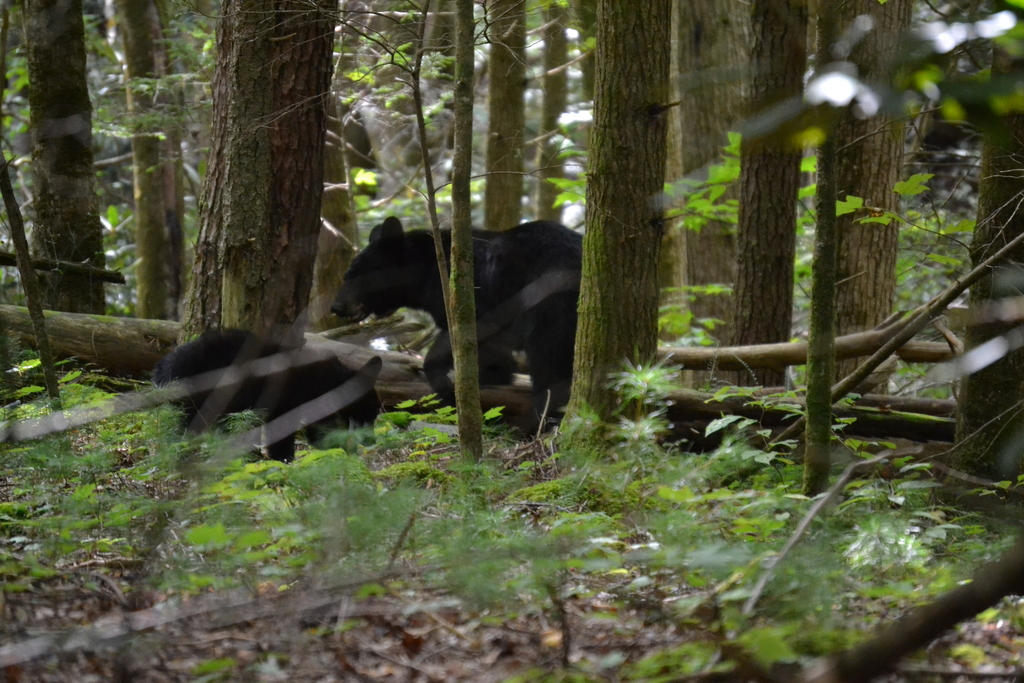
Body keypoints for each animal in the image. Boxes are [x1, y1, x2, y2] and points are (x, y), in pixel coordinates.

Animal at [330, 216, 582, 423]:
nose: (336, 307)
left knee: (547, 359)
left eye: (358, 275)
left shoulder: (468, 300)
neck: (427, 271)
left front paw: (457, 384)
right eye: (345, 275)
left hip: (549, 301)